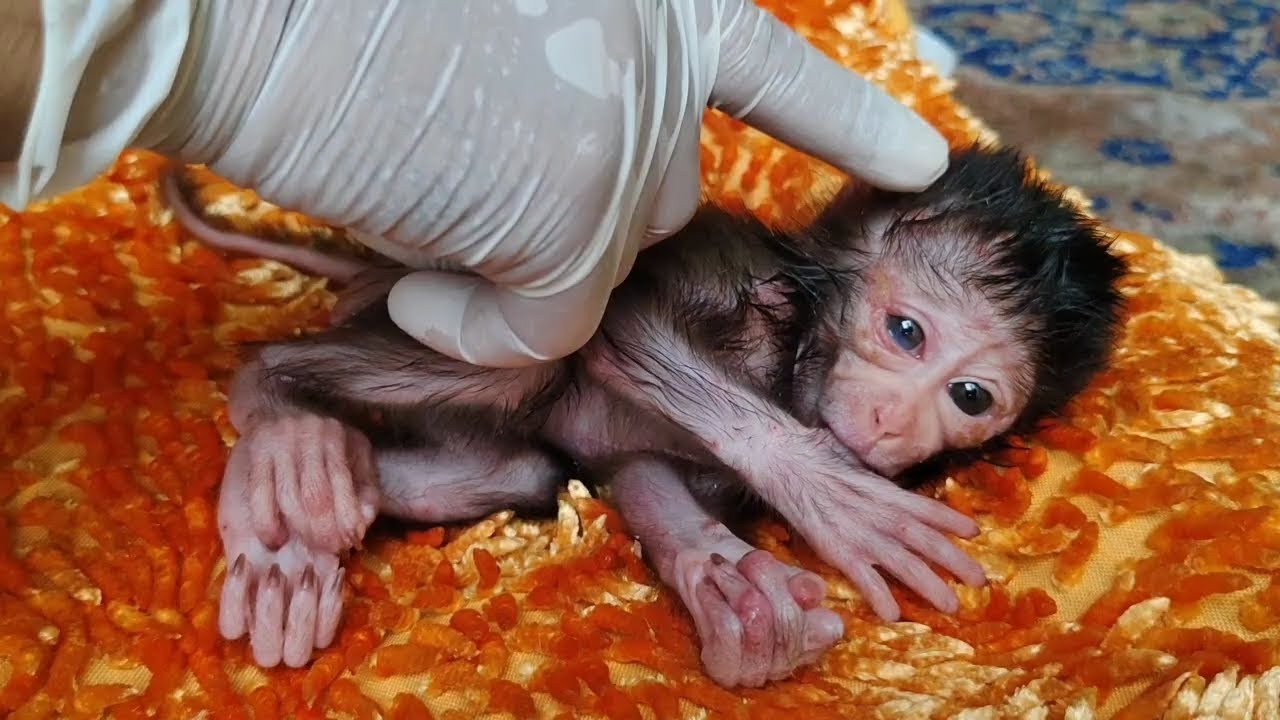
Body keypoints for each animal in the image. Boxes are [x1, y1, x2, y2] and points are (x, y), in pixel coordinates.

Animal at [167, 144, 1127, 687]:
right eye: (905, 332)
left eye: (971, 398)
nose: (896, 423)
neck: (799, 354)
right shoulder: (745, 287)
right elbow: (610, 323)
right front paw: (824, 488)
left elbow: (642, 473)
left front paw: (733, 599)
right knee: (531, 363)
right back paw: (281, 419)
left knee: (515, 465)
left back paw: (324, 494)